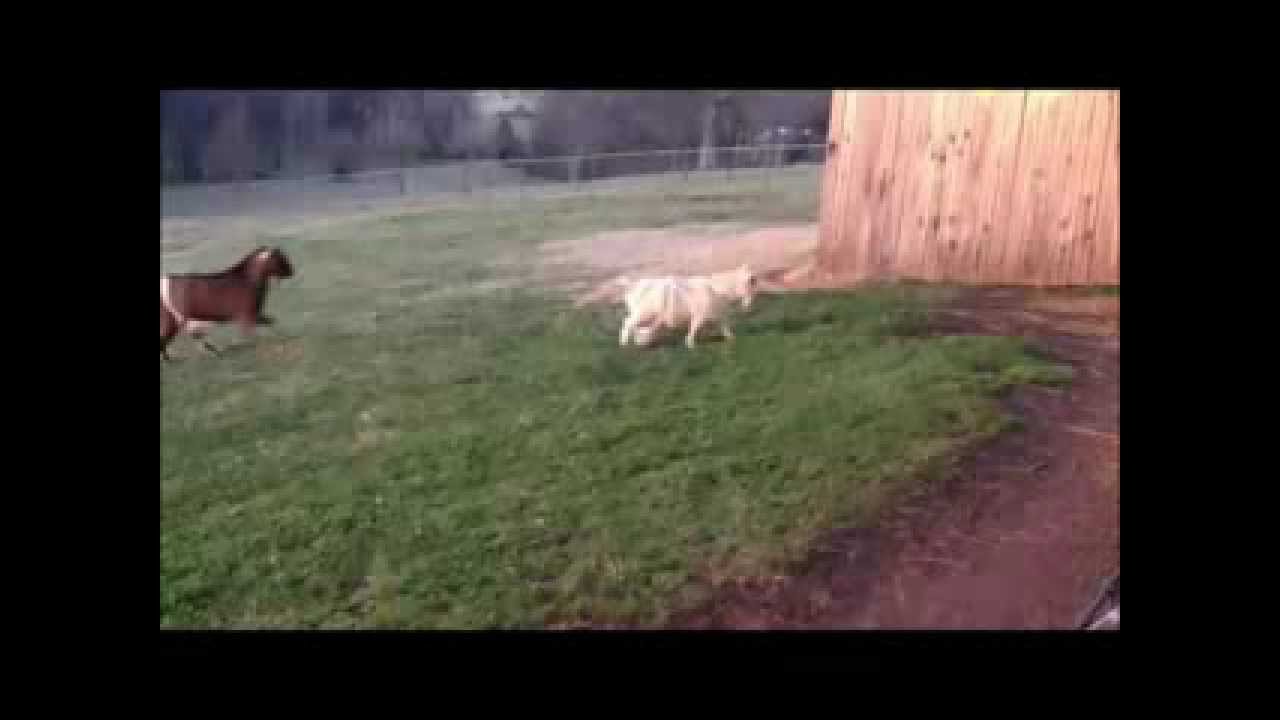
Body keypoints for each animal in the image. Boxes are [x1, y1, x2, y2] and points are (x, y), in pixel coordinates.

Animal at [160, 246, 295, 361]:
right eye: (281, 258)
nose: (291, 271)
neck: (248, 280)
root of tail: (166, 281)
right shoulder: (247, 315)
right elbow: (251, 333)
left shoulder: (255, 314)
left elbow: (271, 323)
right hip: (181, 318)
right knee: (189, 336)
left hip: (172, 320)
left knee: (167, 338)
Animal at [615, 264, 757, 349]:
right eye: (751, 282)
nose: (748, 305)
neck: (716, 289)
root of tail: (633, 285)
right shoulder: (700, 315)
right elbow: (694, 328)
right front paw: (690, 344)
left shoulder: (718, 314)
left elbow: (724, 326)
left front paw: (731, 339)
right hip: (643, 313)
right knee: (628, 323)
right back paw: (624, 344)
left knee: (639, 329)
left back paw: (639, 343)